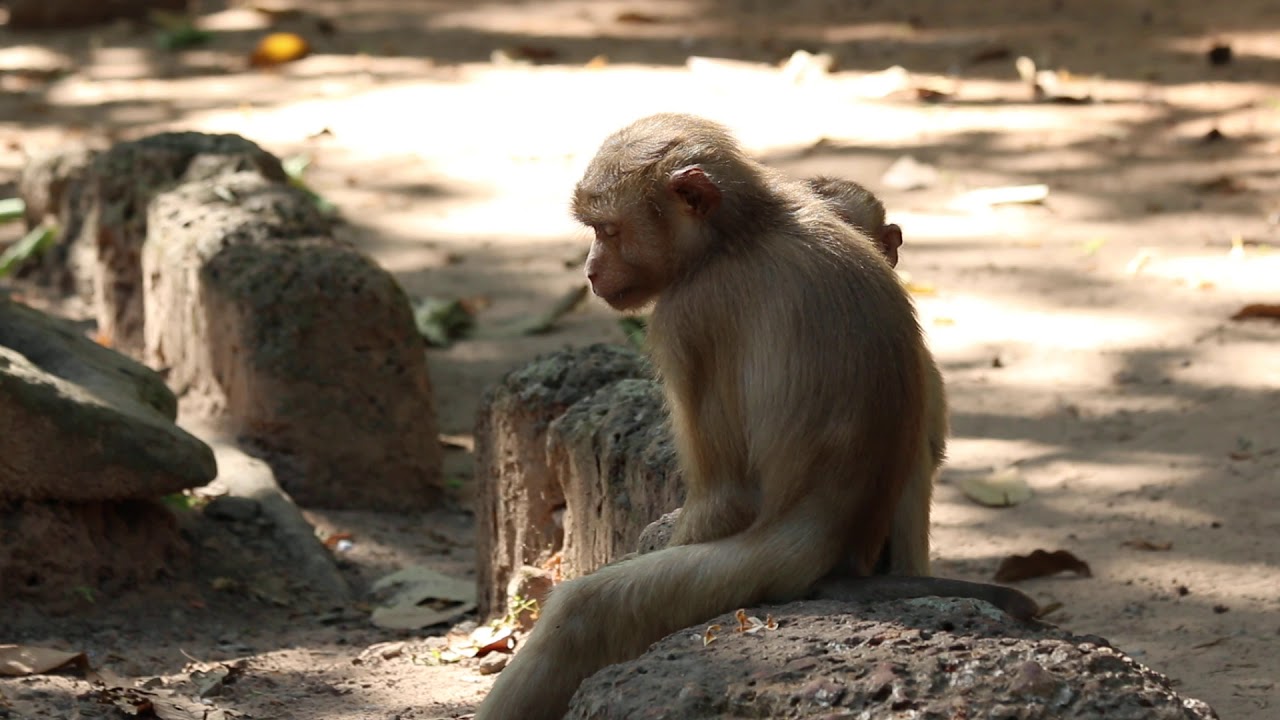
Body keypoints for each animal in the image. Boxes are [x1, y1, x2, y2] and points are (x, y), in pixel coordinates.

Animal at [475, 114, 1036, 720]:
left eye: (608, 230)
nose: (591, 270)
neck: (741, 233)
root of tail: (837, 558)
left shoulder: (688, 316)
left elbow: (728, 497)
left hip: (761, 569)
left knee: (584, 613)